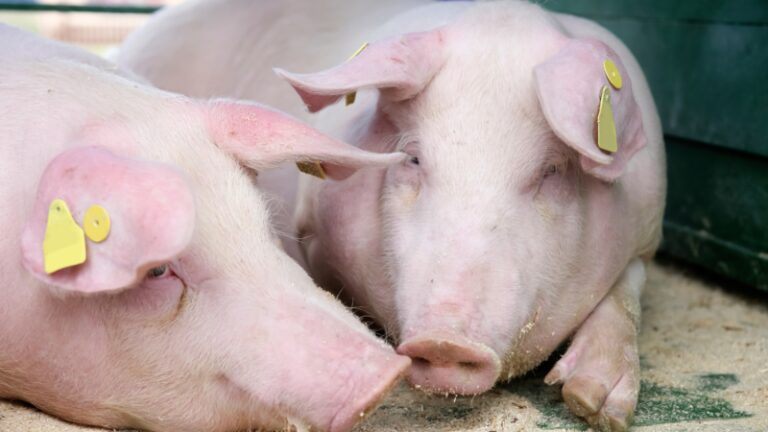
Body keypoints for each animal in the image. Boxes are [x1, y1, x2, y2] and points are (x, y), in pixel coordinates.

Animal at [115, 1, 666, 430]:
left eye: (551, 171)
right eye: (414, 159)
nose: (444, 339)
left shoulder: (647, 236)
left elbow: (629, 289)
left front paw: (594, 406)